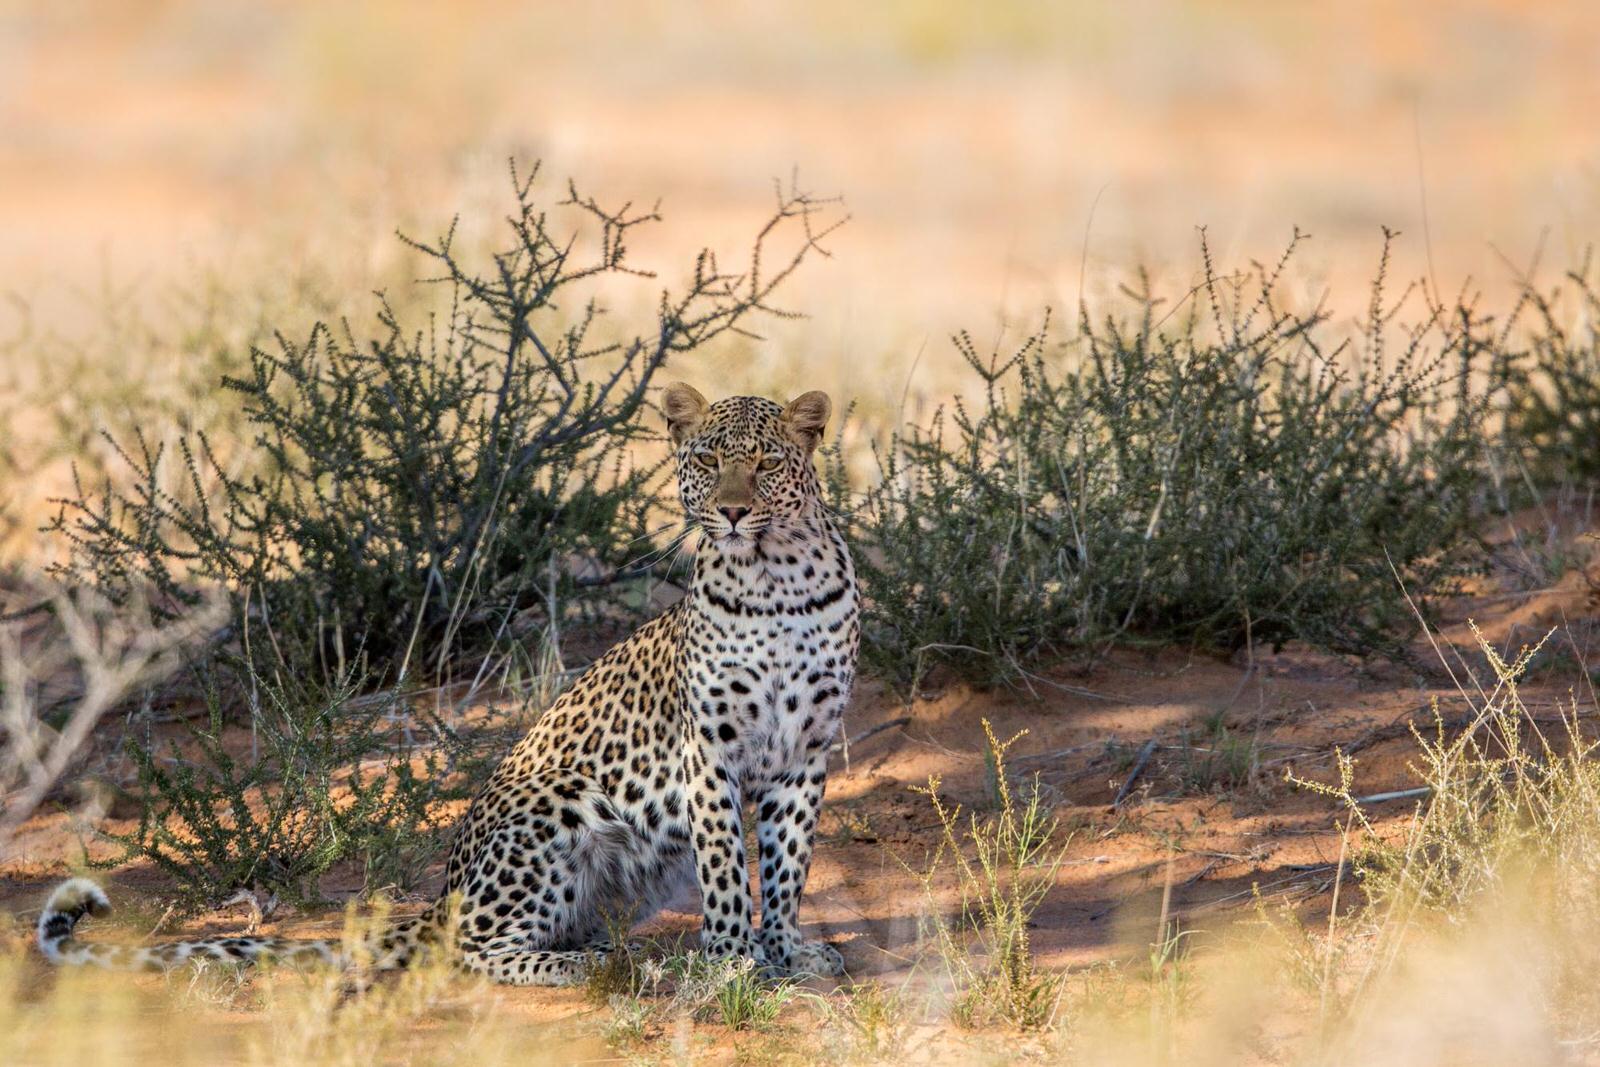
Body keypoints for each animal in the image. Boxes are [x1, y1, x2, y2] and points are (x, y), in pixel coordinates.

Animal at [37, 383, 860, 987]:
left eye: (767, 464)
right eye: (710, 460)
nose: (732, 511)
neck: (775, 580)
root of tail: (440, 898)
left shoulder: (806, 751)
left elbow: (787, 866)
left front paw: (786, 951)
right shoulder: (707, 748)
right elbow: (725, 865)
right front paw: (732, 960)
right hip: (555, 802)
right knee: (469, 950)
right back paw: (582, 964)